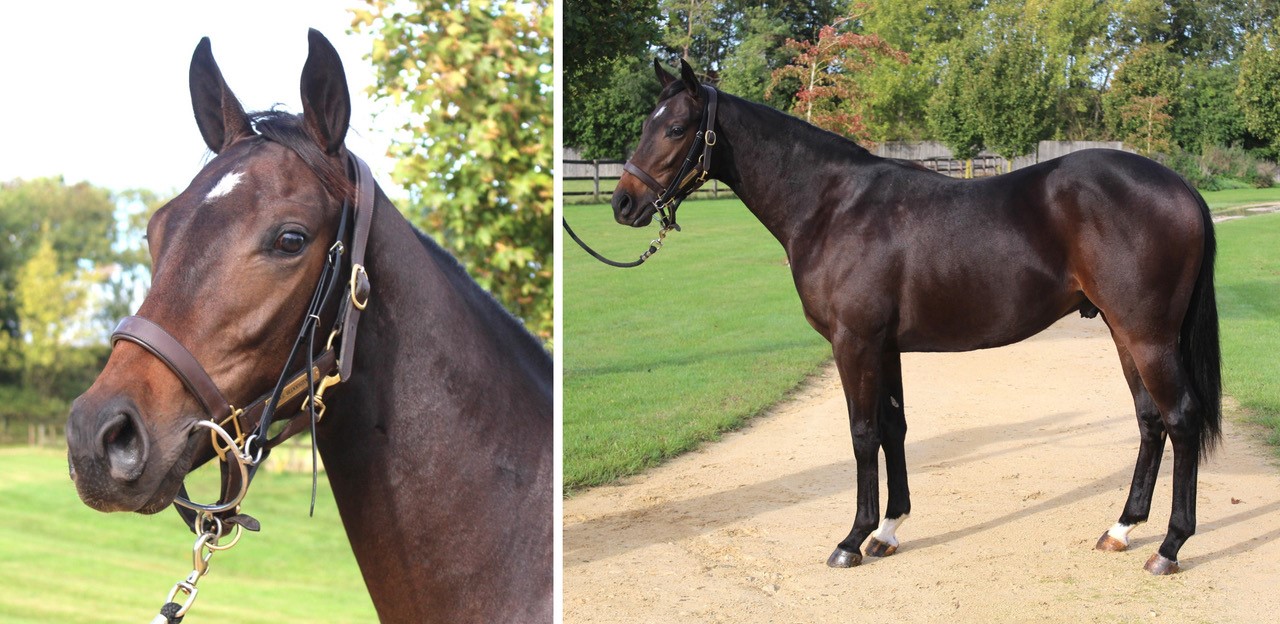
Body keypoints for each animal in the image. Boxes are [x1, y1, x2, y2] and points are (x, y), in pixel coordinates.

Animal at [608, 60, 1220, 576]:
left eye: (678, 127)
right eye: (648, 123)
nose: (623, 203)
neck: (832, 206)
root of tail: (1181, 186)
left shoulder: (853, 343)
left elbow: (861, 433)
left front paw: (851, 540)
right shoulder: (884, 347)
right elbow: (893, 428)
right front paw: (887, 530)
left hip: (1148, 337)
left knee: (1181, 418)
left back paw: (1169, 547)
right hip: (1123, 332)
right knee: (1150, 421)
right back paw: (1121, 529)